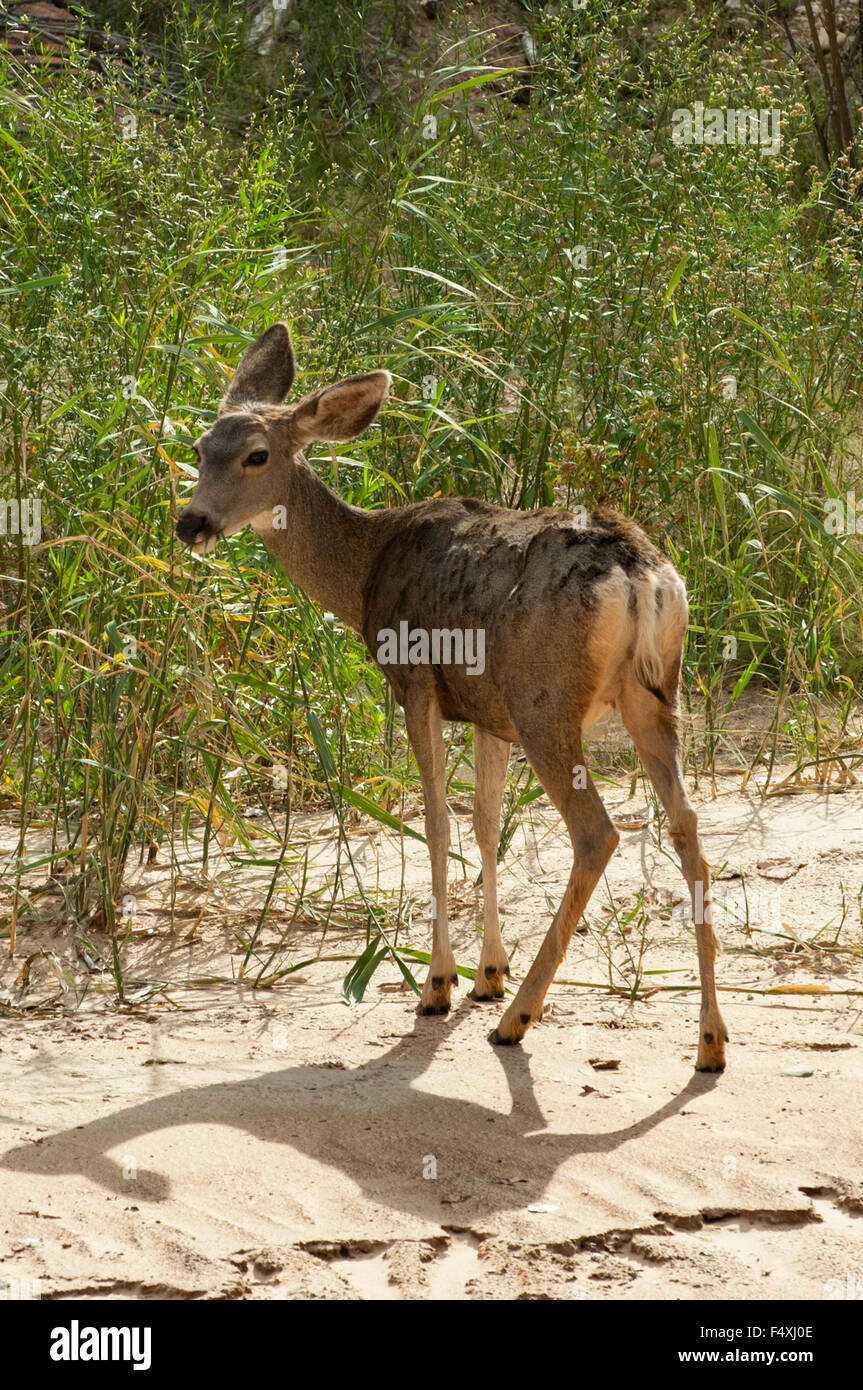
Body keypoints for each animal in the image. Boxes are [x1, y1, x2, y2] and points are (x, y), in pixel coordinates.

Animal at [175, 322, 729, 1072]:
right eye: (200, 448)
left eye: (257, 455)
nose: (191, 524)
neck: (365, 567)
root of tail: (638, 573)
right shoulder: (487, 711)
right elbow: (485, 823)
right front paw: (486, 973)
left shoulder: (414, 682)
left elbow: (436, 822)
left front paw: (440, 984)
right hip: (651, 694)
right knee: (688, 825)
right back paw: (709, 1042)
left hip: (545, 698)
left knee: (598, 833)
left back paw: (519, 1018)